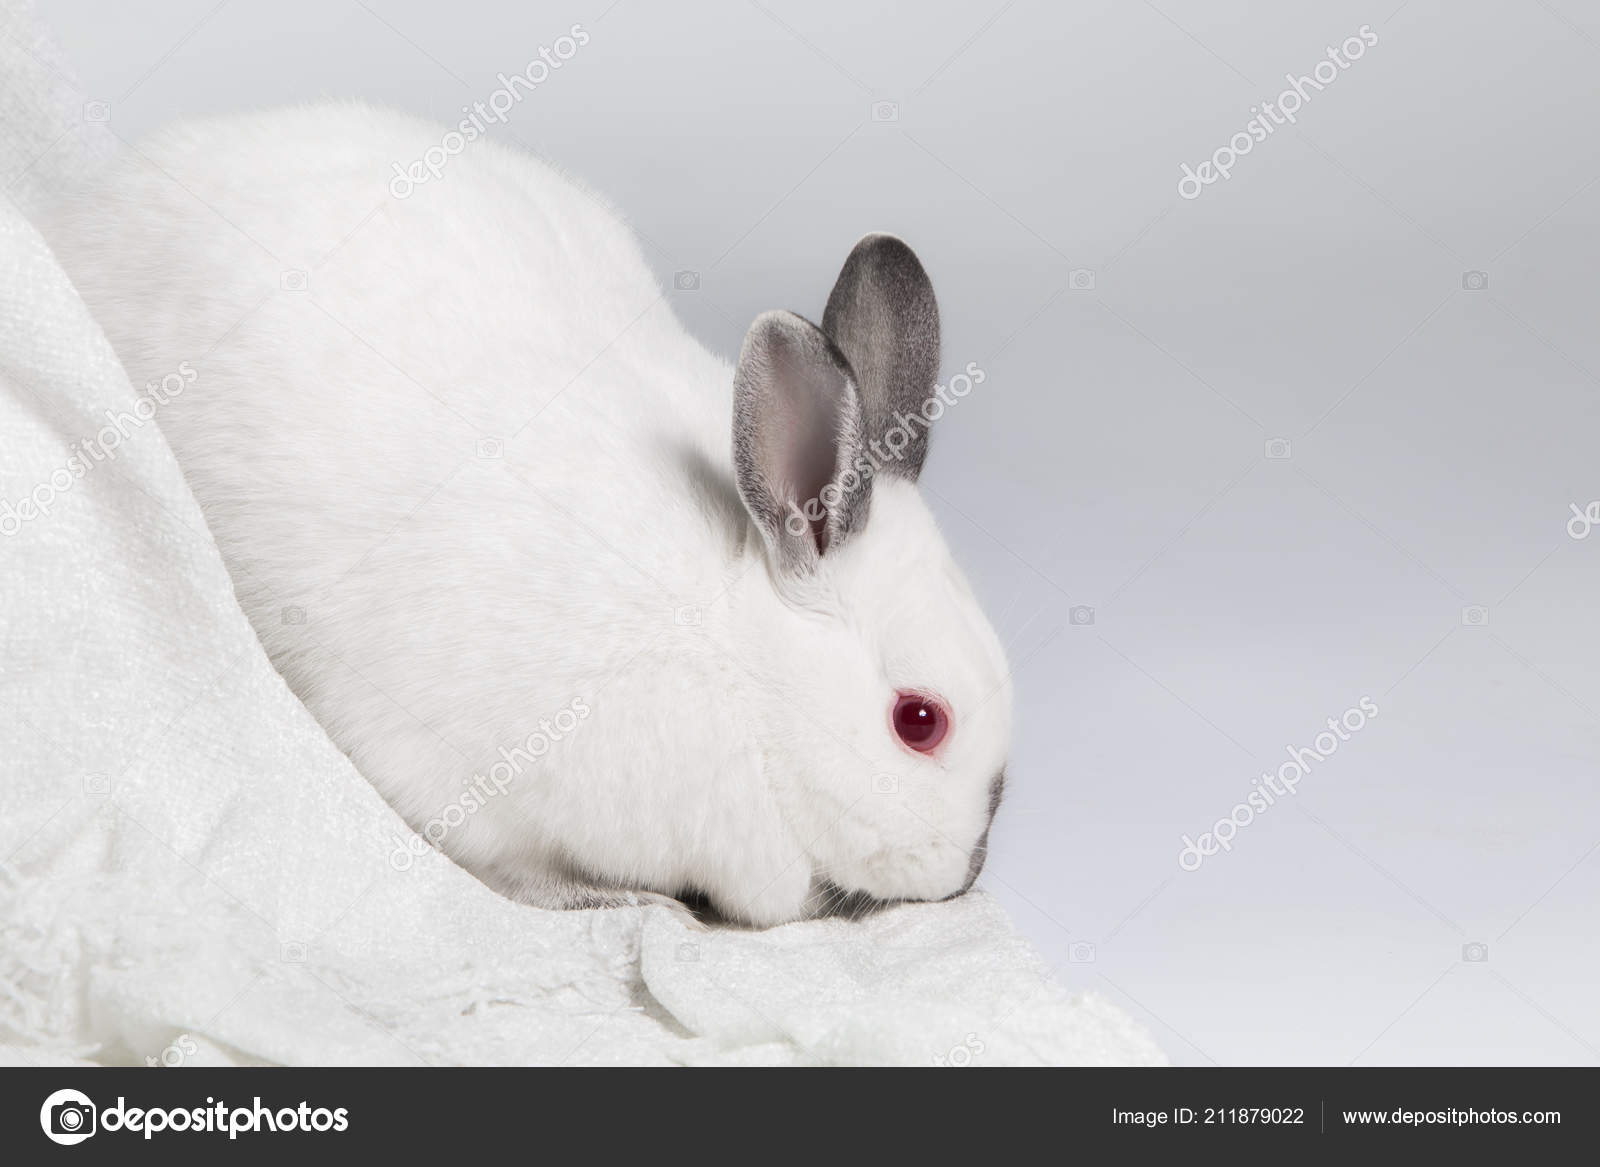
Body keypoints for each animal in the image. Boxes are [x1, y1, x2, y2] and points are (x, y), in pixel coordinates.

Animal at [41, 102, 1013, 927]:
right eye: (918, 720)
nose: (964, 874)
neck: (738, 656)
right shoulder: (454, 771)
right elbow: (509, 868)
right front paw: (621, 901)